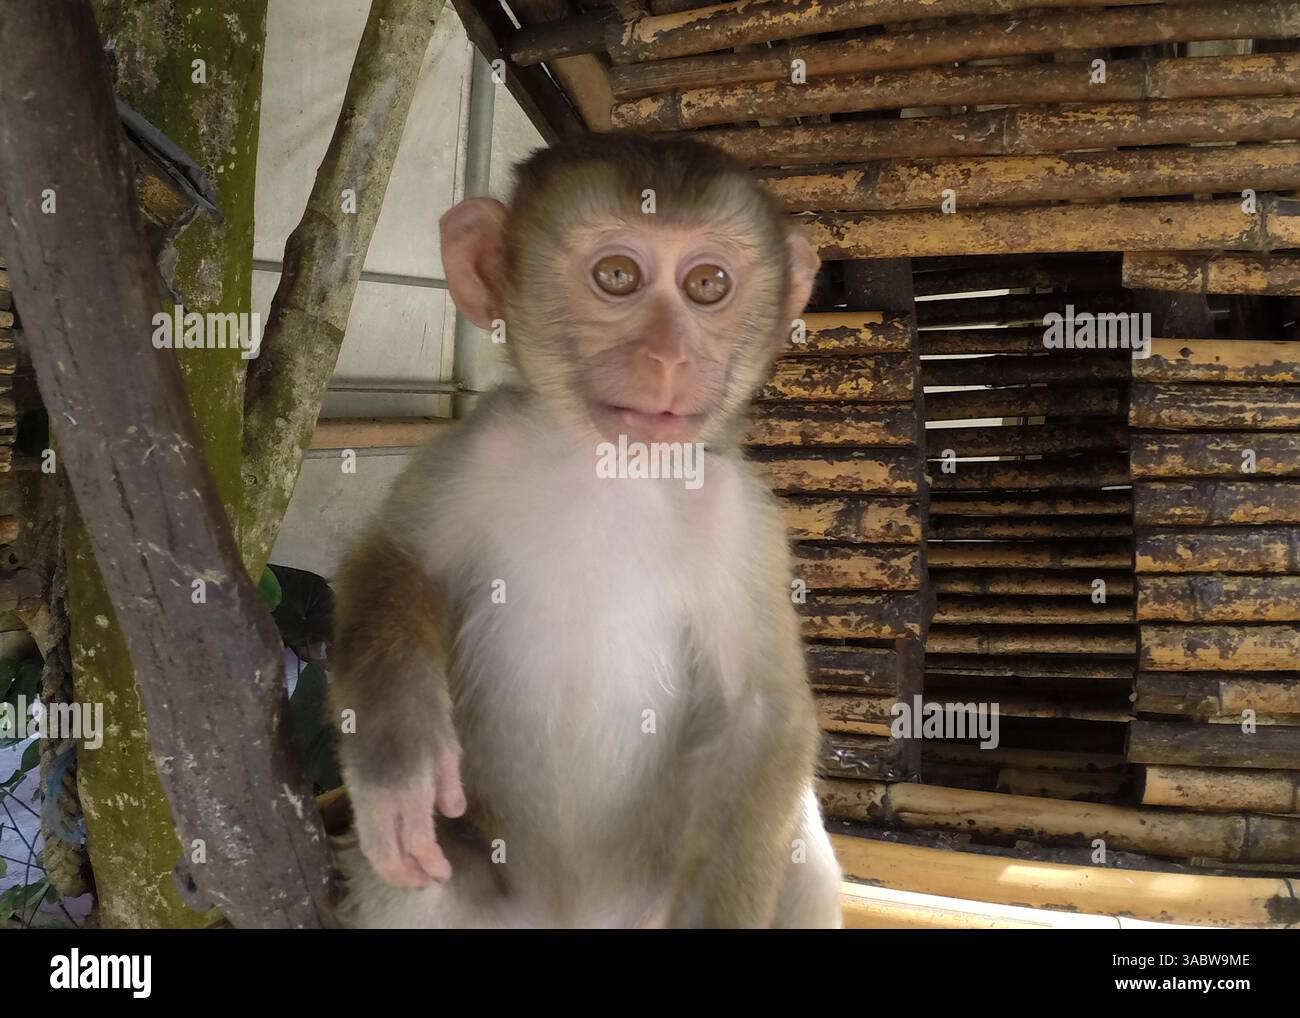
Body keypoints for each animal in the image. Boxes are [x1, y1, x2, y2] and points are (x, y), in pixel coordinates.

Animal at [329, 132, 842, 928]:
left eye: (707, 286)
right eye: (617, 276)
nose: (668, 358)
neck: (611, 467)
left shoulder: (743, 520)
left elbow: (760, 716)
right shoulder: (480, 446)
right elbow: (396, 560)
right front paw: (398, 758)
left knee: (801, 843)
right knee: (417, 887)